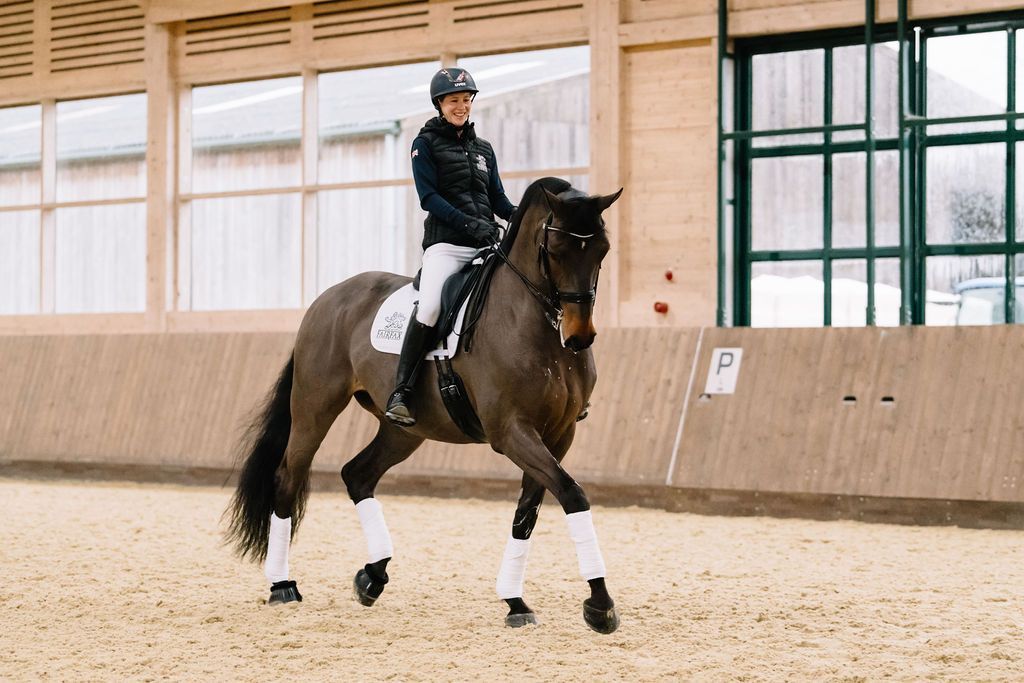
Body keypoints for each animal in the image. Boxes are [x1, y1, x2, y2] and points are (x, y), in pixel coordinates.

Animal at [224, 177, 624, 633]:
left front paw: (515, 601)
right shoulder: (511, 431)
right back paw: (282, 585)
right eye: (555, 251)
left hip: (405, 430)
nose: (579, 337)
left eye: (602, 250)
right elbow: (573, 495)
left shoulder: (559, 434)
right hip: (314, 409)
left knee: (358, 475)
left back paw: (373, 576)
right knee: (288, 478)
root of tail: (328, 299)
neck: (531, 324)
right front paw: (599, 604)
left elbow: (529, 512)